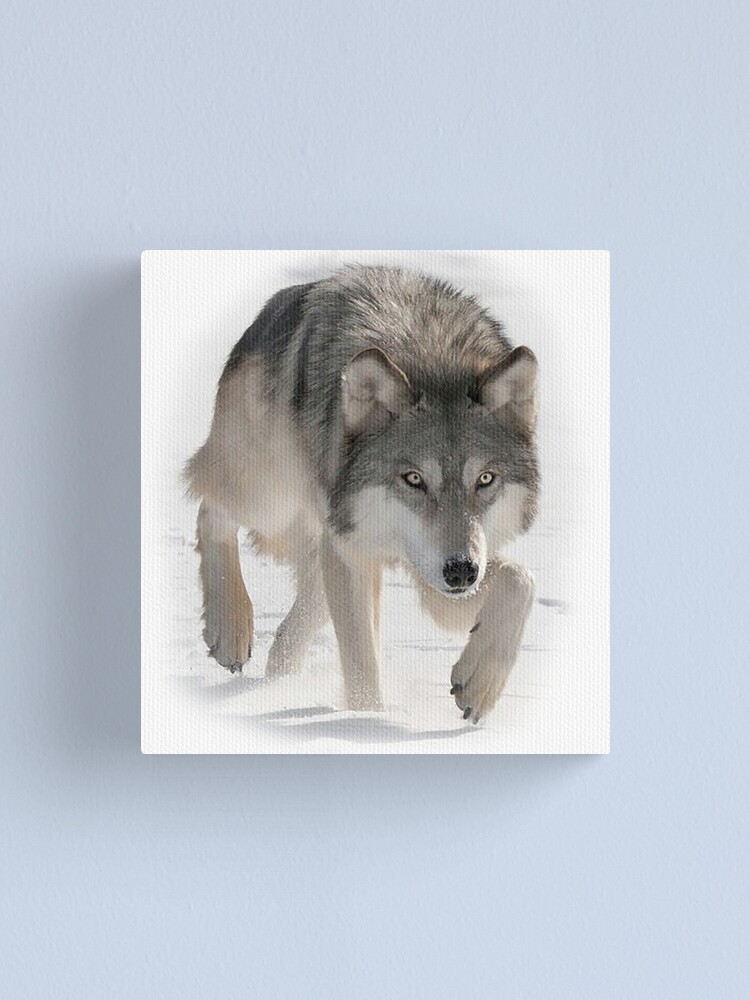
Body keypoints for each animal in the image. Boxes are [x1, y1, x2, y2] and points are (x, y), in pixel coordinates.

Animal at [186, 265, 539, 723]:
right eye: (413, 478)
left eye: (485, 479)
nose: (461, 571)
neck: (432, 355)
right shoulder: (360, 553)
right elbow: (361, 661)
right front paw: (366, 721)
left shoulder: (435, 575)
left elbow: (520, 579)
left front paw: (479, 685)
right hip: (269, 497)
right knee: (210, 507)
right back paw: (230, 631)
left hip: (328, 539)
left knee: (302, 612)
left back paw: (278, 681)